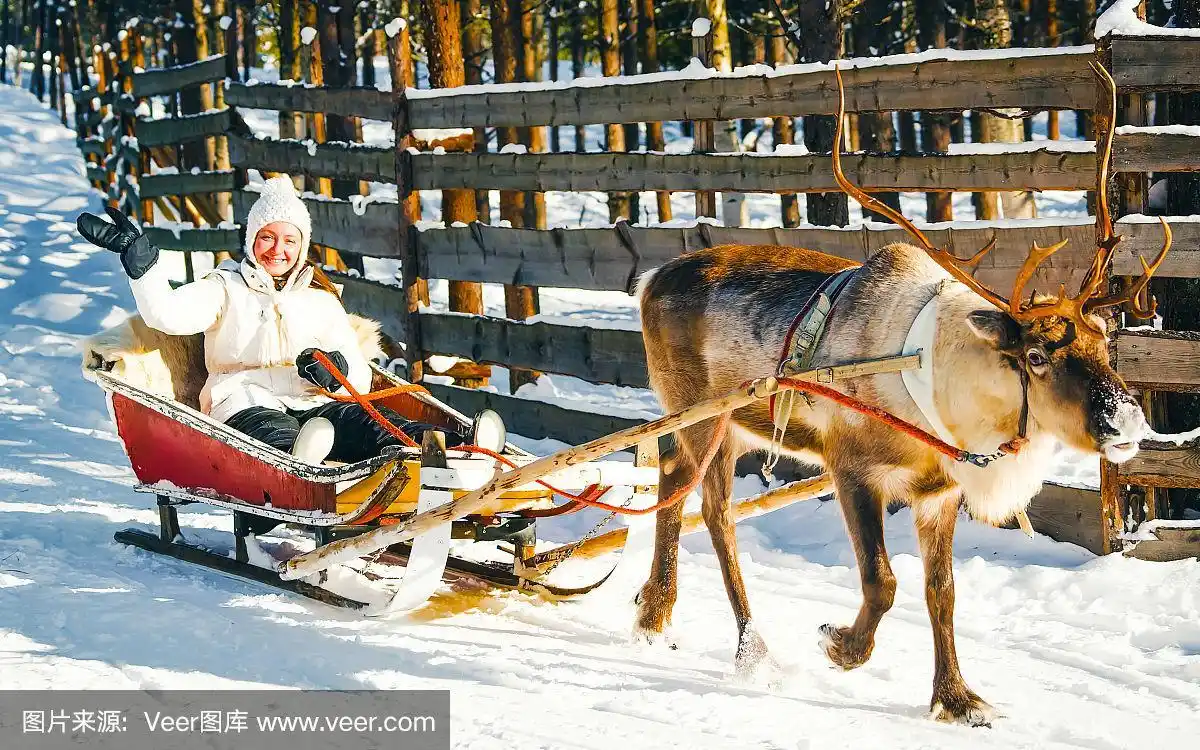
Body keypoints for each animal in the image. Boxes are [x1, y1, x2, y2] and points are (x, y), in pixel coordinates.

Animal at [632, 62, 1169, 726]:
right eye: (1037, 357)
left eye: (1104, 343)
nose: (1127, 423)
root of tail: (649, 281)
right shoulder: (851, 467)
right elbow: (881, 580)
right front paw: (840, 646)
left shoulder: (937, 493)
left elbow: (942, 591)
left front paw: (957, 698)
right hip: (703, 417)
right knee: (712, 511)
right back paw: (750, 650)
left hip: (717, 424)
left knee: (672, 483)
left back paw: (657, 615)